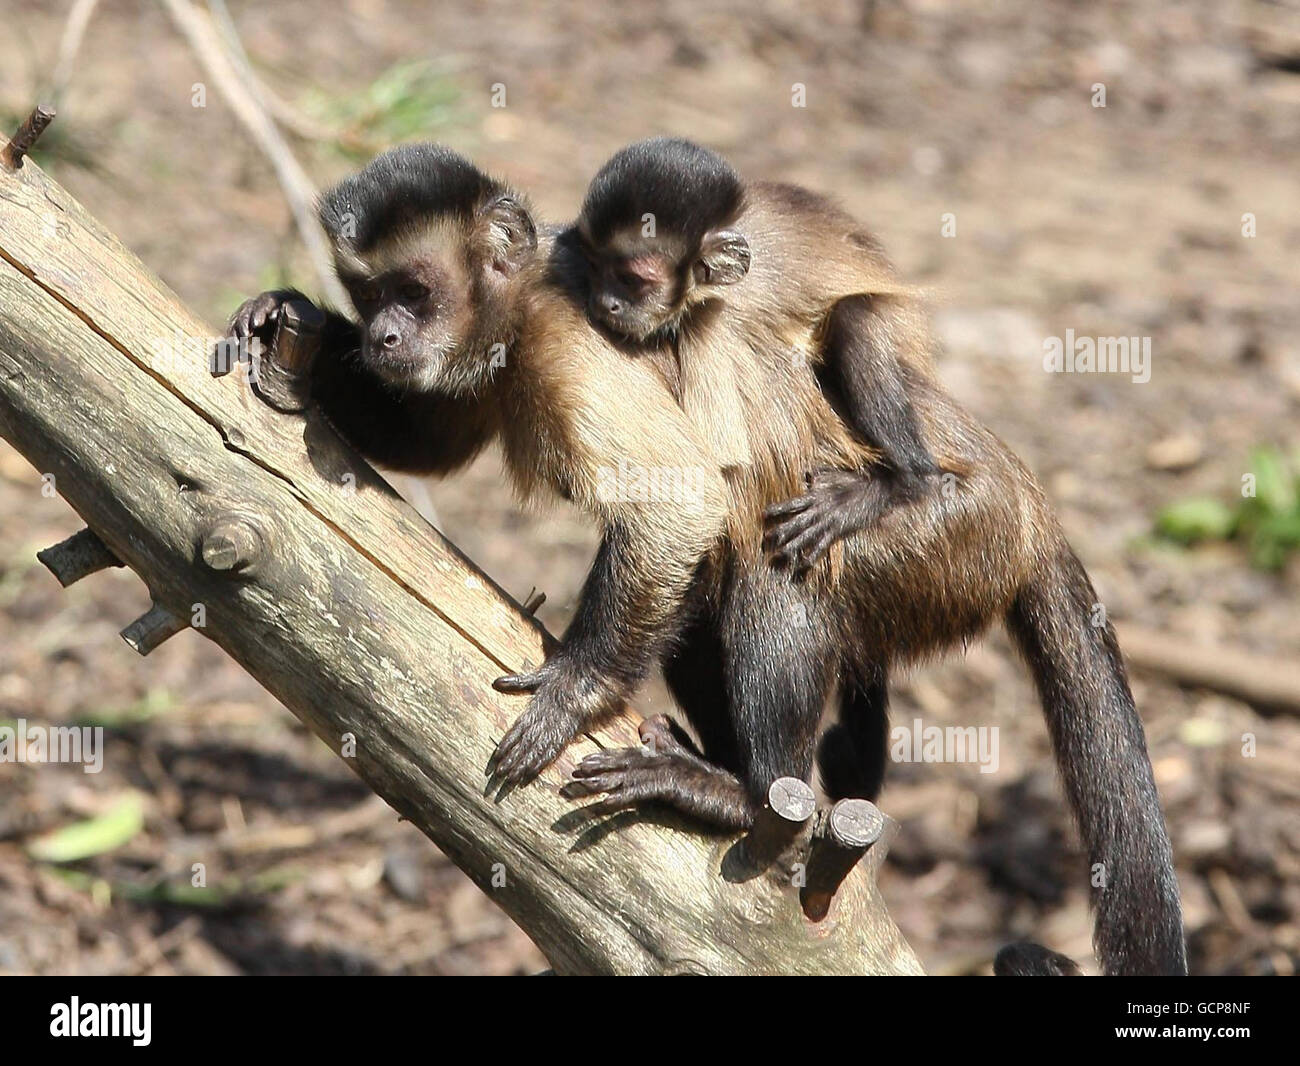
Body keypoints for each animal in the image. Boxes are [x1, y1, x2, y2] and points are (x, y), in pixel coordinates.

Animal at [226, 143, 1185, 975]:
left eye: (412, 292)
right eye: (368, 292)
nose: (383, 336)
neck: (526, 303)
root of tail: (1023, 498)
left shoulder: (564, 342)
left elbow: (680, 502)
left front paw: (577, 690)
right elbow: (429, 443)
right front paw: (291, 328)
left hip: (949, 542)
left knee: (766, 566)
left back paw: (753, 799)